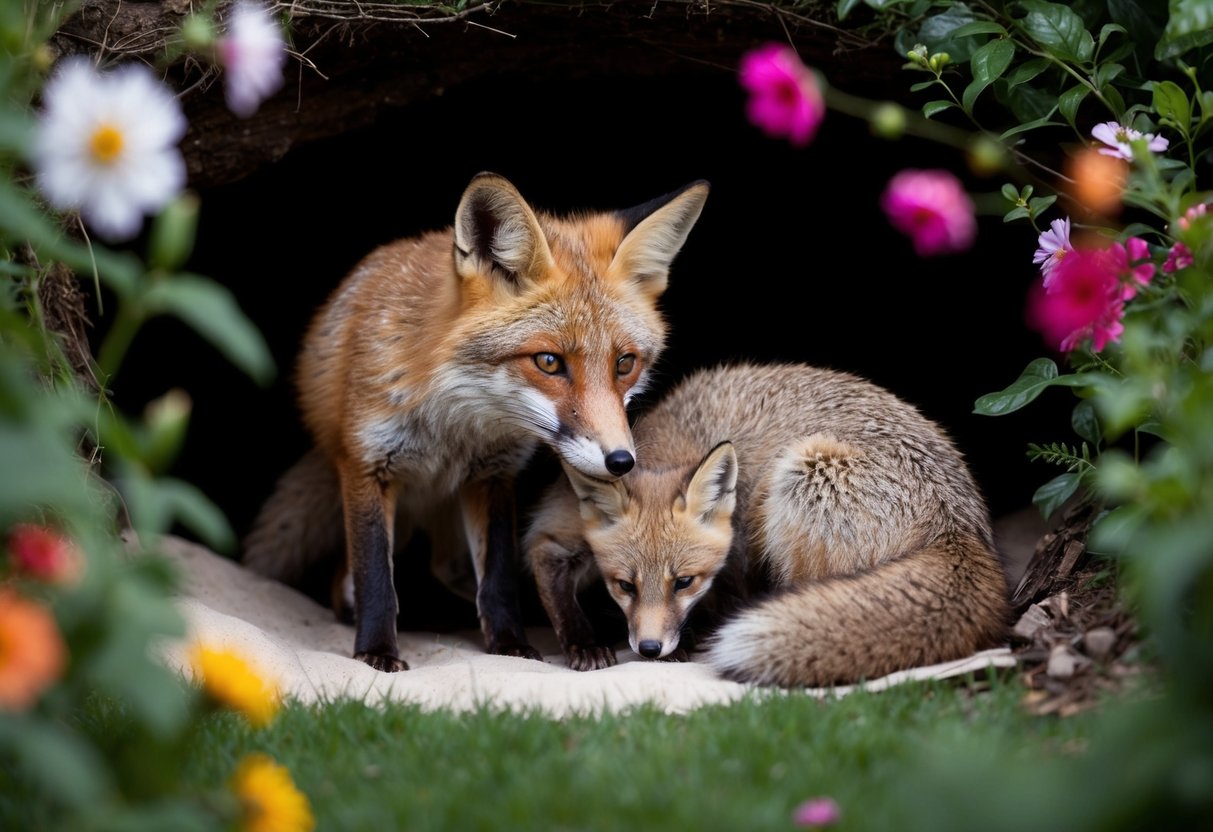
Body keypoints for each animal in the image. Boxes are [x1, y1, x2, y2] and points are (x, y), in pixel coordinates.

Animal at [241, 172, 710, 672]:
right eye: (549, 362)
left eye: (625, 364)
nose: (621, 461)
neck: (454, 425)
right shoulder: (367, 465)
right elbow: (376, 580)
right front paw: (376, 653)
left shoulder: (493, 474)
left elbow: (499, 577)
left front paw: (510, 645)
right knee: (353, 581)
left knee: (449, 567)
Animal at [523, 361, 1011, 687]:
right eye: (625, 586)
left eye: (683, 583)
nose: (648, 649)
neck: (678, 435)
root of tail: (962, 526)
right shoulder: (560, 534)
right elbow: (549, 567)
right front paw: (583, 642)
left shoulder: (737, 551)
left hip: (804, 474)